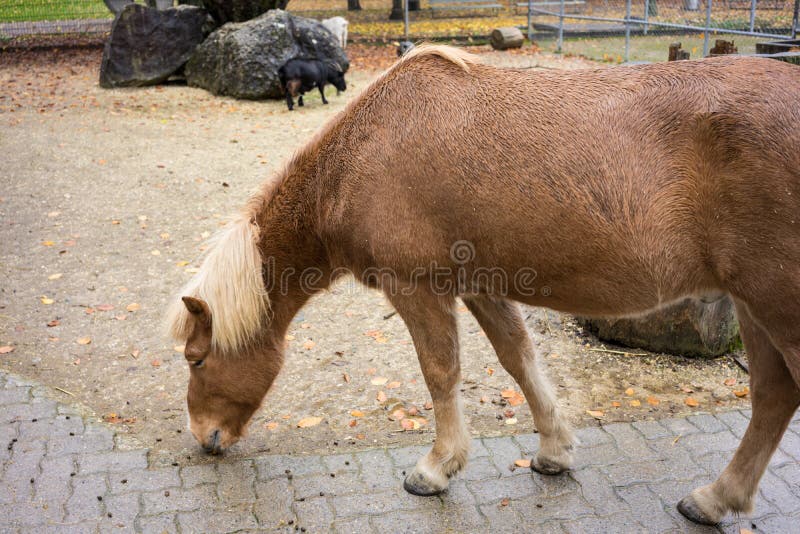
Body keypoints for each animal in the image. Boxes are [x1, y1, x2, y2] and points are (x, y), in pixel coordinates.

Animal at [166, 46, 800, 525]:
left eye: (196, 360)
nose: (205, 438)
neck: (368, 149)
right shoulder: (481, 286)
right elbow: (519, 359)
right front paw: (554, 450)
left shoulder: (415, 287)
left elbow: (441, 373)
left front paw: (435, 468)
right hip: (755, 306)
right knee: (773, 397)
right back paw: (715, 500)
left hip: (775, 304)